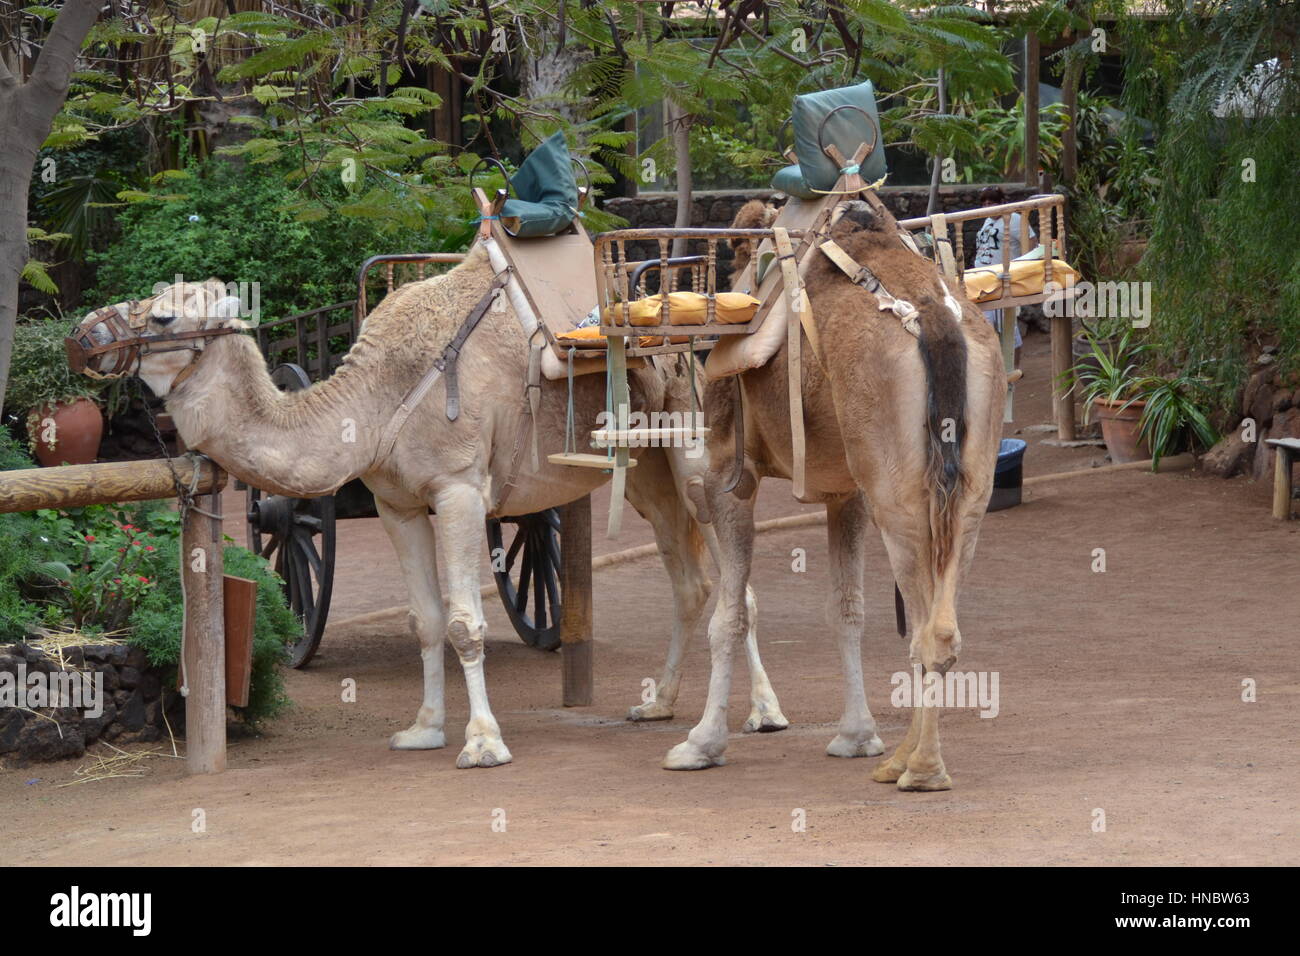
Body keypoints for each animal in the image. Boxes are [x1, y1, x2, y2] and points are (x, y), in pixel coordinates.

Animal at [70, 248, 789, 768]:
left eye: (165, 317)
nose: (83, 332)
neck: (375, 396)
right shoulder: (397, 504)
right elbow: (426, 620)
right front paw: (423, 728)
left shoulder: (459, 487)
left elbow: (466, 621)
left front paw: (483, 742)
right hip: (644, 469)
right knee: (690, 580)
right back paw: (659, 705)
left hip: (694, 444)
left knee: (738, 584)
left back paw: (759, 717)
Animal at [662, 199, 1006, 790]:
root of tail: (935, 321)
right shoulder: (846, 494)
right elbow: (847, 608)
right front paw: (857, 736)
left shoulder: (730, 474)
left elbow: (729, 616)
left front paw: (701, 743)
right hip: (968, 492)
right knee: (938, 622)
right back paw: (901, 759)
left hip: (899, 497)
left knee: (927, 631)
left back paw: (921, 768)